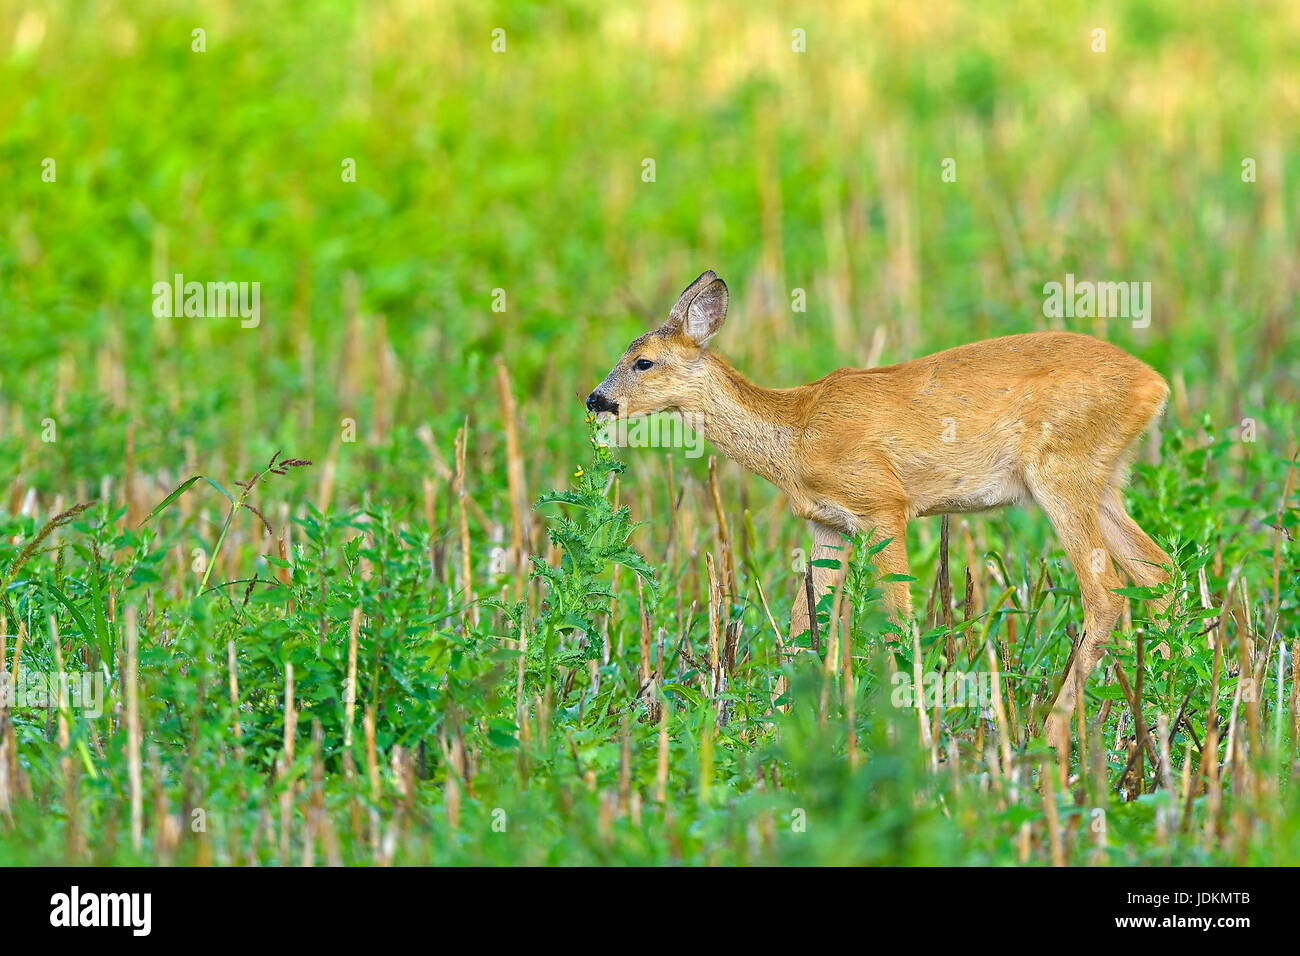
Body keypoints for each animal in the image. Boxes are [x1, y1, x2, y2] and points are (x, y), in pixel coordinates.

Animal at [586, 270, 1172, 747]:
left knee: (1106, 593)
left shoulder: (884, 504)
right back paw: (1163, 710)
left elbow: (898, 621)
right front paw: (773, 731)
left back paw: (1050, 738)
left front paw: (912, 729)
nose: (595, 400)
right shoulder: (828, 525)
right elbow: (801, 628)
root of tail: (1157, 383)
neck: (795, 434)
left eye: (643, 361)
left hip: (1060, 471)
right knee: (1158, 571)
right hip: (1104, 482)